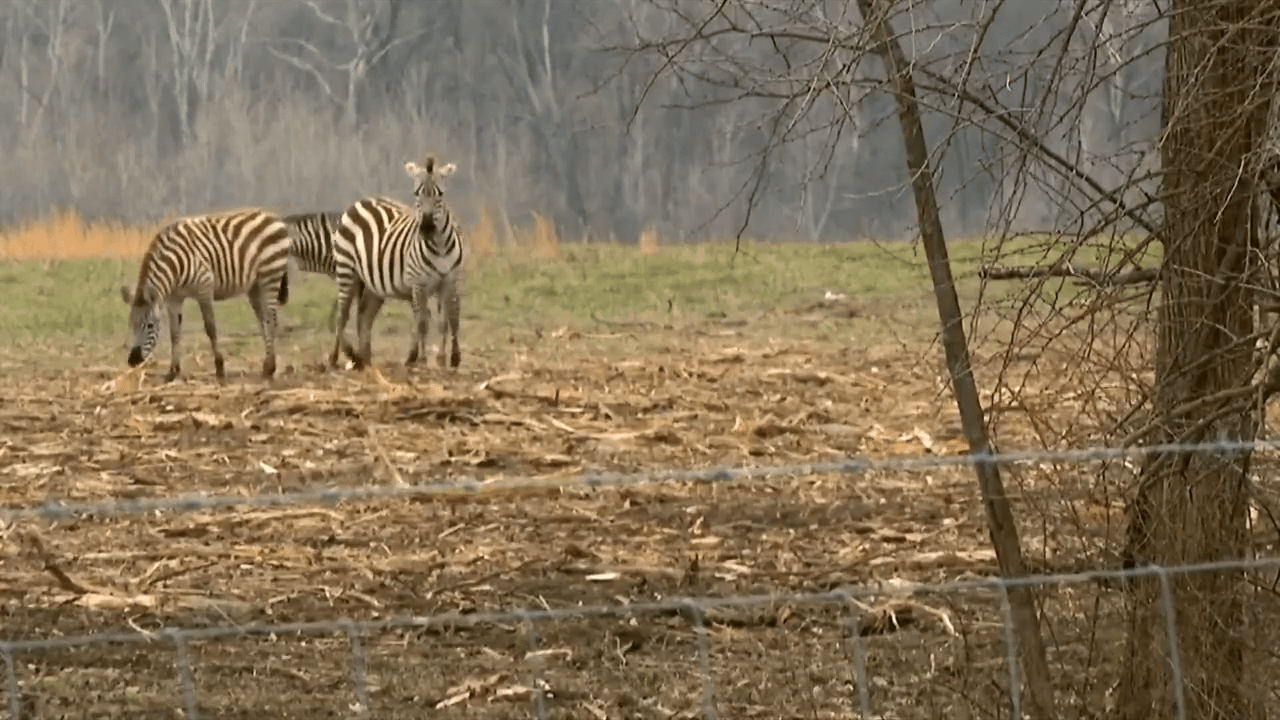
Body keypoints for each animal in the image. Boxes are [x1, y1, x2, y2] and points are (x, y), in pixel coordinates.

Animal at [118, 208, 292, 383]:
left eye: (149, 326)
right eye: (131, 324)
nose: (133, 360)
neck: (174, 265)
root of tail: (272, 216)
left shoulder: (204, 289)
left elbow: (210, 329)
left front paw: (220, 369)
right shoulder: (174, 298)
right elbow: (174, 333)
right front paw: (172, 372)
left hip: (270, 274)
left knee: (271, 320)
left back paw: (270, 368)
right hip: (255, 285)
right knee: (262, 320)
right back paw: (267, 365)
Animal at [283, 209, 443, 366]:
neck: (327, 242)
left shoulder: (357, 280)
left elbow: (353, 316)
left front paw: (349, 354)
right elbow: (357, 315)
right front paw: (361, 354)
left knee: (424, 314)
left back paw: (417, 356)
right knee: (424, 314)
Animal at [329, 155, 463, 370]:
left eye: (440, 195)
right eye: (416, 194)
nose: (426, 228)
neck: (440, 246)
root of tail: (361, 201)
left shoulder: (450, 281)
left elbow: (449, 320)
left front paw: (447, 359)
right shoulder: (419, 283)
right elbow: (422, 322)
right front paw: (423, 360)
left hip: (373, 285)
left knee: (364, 317)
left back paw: (364, 359)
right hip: (346, 269)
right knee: (343, 316)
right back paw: (336, 358)